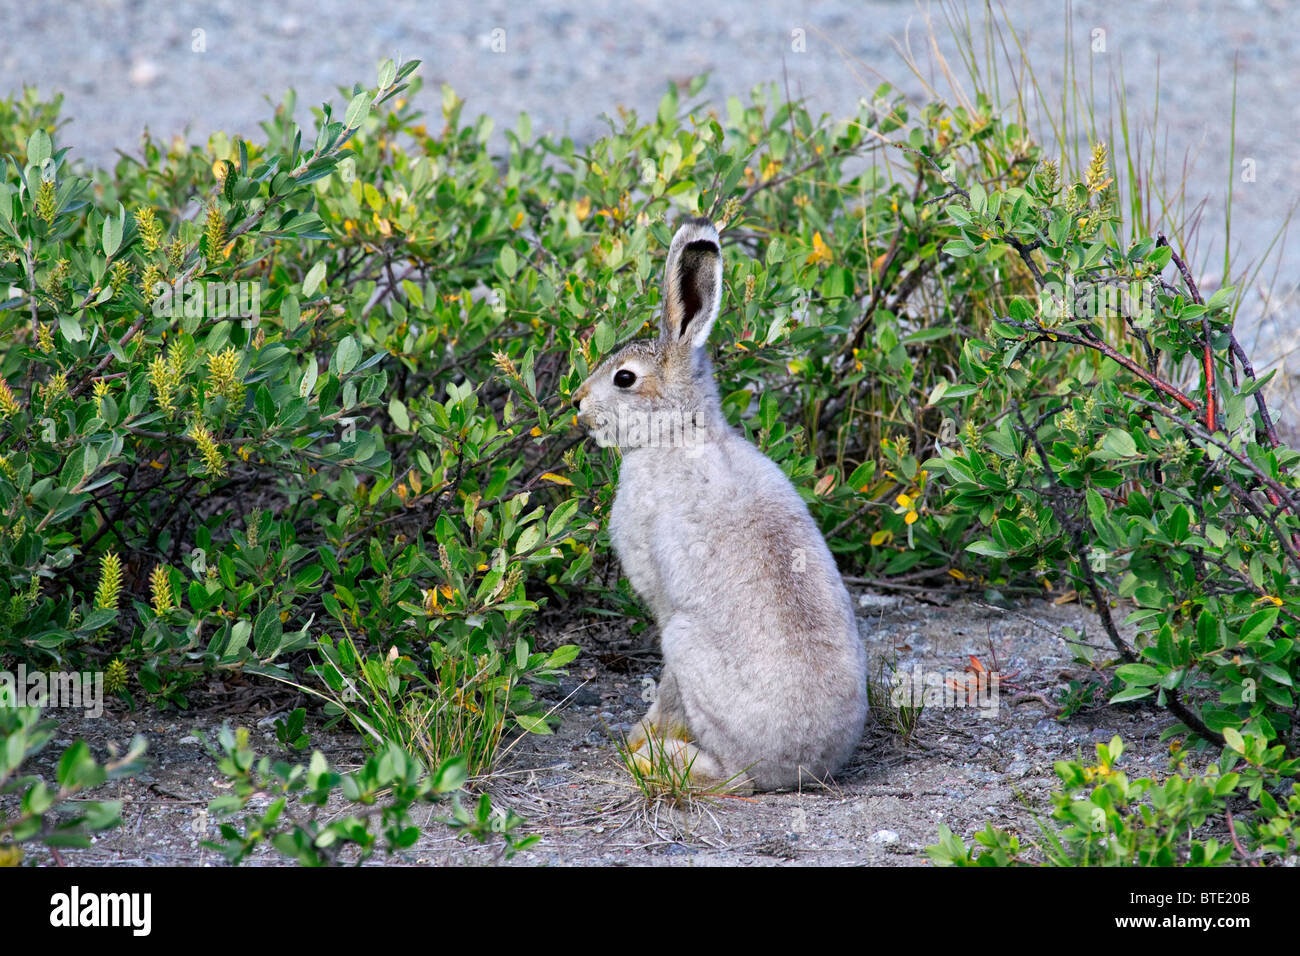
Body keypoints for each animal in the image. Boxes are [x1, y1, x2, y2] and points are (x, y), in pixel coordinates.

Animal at [571, 216, 868, 792]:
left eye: (624, 378)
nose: (577, 404)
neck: (677, 432)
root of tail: (802, 765)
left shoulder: (663, 605)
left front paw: (637, 737)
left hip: (685, 642)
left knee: (730, 776)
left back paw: (656, 759)